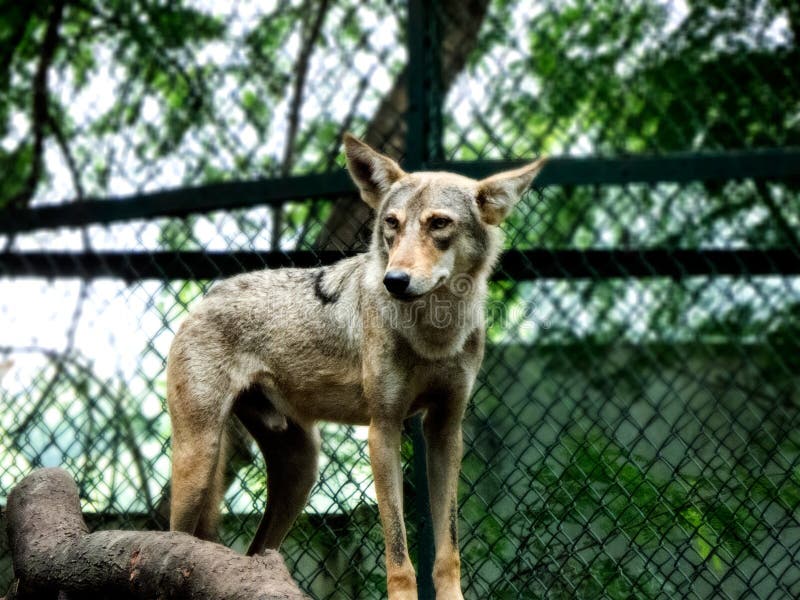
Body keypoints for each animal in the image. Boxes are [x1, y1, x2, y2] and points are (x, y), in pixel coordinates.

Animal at [166, 134, 545, 599]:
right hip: (200, 460)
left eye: (439, 223)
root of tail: (206, 297)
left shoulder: (445, 431)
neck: (435, 333)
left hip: (300, 473)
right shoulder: (383, 429)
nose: (395, 281)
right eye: (392, 224)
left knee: (256, 552)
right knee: (172, 537)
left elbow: (448, 547)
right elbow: (398, 551)